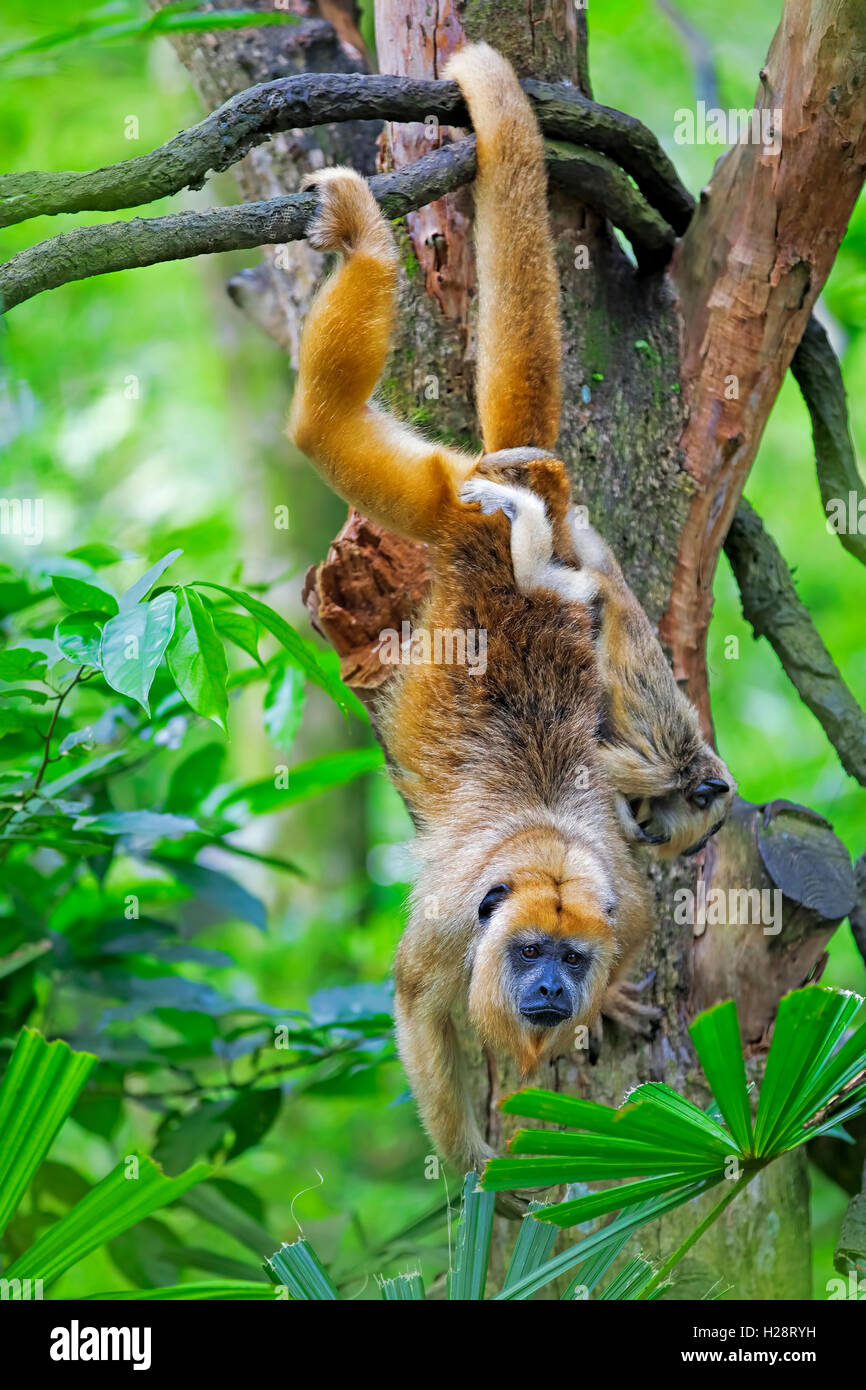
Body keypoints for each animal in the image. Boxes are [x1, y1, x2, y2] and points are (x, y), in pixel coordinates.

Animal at [289, 42, 731, 1173]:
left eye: (569, 957)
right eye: (528, 949)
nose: (548, 989)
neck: (539, 857)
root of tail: (509, 497)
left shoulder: (617, 897)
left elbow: (635, 923)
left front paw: (604, 1011)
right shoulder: (452, 927)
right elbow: (418, 1013)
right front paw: (473, 1174)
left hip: (473, 496)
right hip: (442, 496)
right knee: (321, 427)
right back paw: (365, 240)